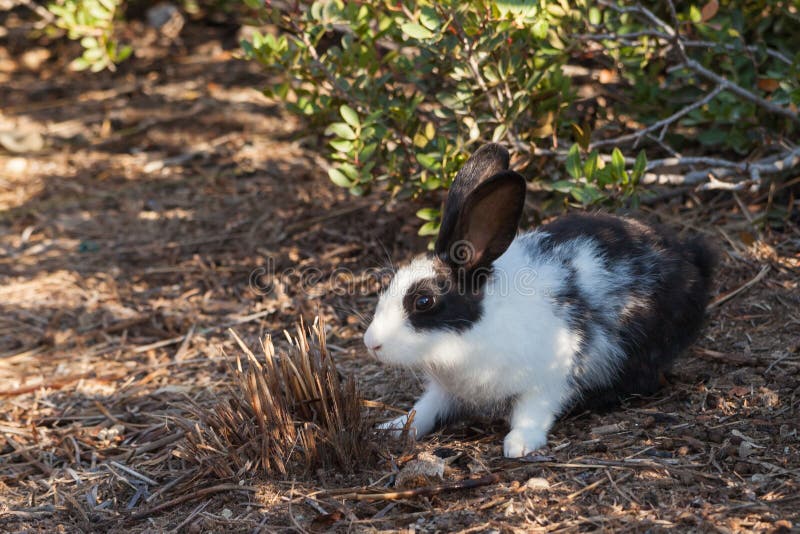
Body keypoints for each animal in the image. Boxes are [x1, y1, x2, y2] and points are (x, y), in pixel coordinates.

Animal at [363, 143, 716, 458]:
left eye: (423, 301)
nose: (371, 343)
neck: (478, 329)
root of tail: (692, 259)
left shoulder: (548, 379)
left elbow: (530, 412)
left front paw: (519, 445)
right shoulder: (445, 392)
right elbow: (423, 410)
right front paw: (391, 428)